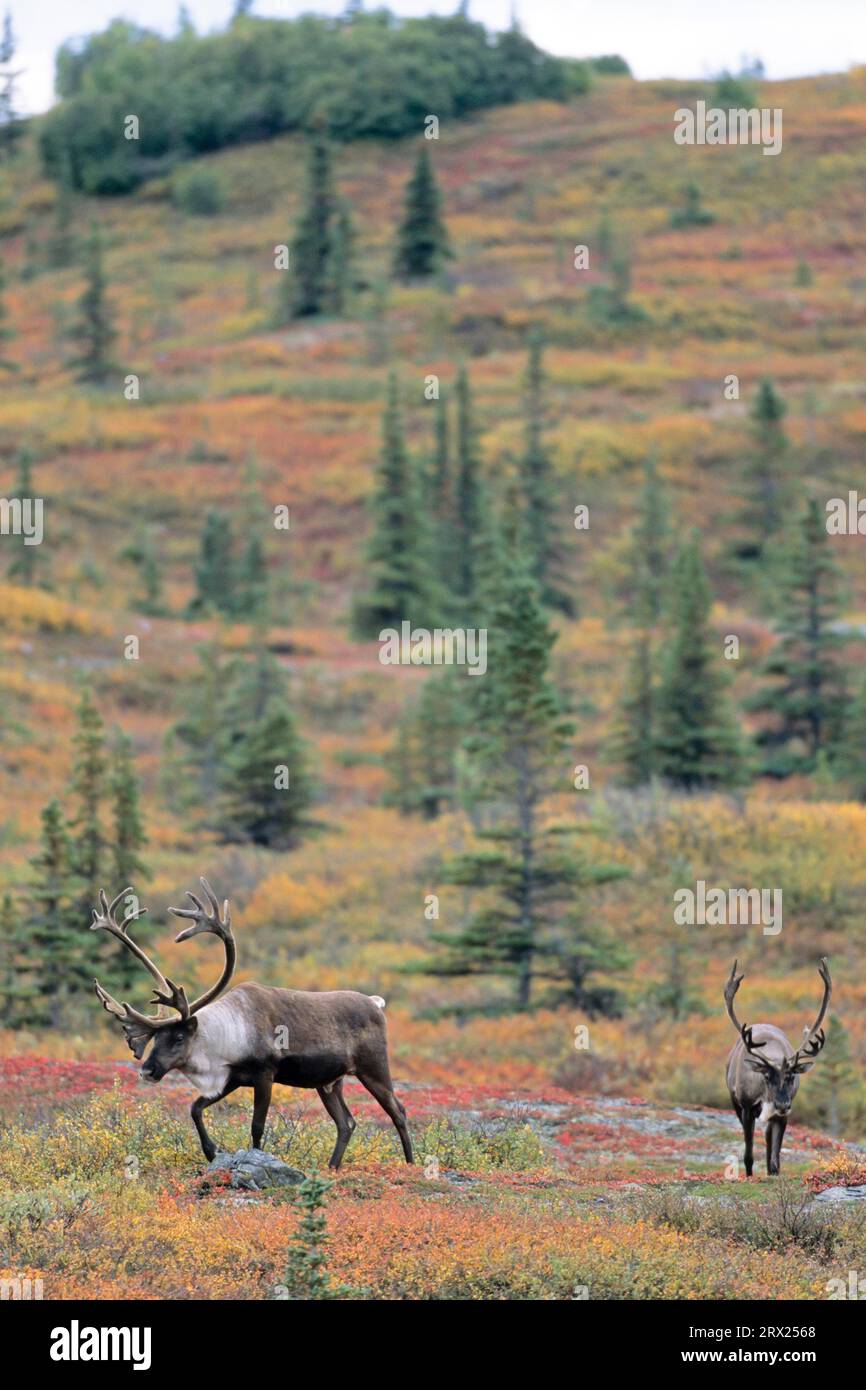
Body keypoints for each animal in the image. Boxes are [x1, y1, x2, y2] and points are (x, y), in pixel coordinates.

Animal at [90, 878, 414, 1169]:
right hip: (330, 1081)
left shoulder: (265, 1073)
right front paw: (211, 1151)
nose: (147, 1070)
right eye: (156, 1038)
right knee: (346, 1122)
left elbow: (256, 1127)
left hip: (373, 1066)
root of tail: (376, 1003)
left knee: (398, 1110)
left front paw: (255, 1158)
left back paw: (411, 1164)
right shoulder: (232, 1077)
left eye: (179, 1037)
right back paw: (332, 1167)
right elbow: (195, 1108)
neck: (227, 1036)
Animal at [724, 957, 831, 1176]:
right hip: (735, 1101)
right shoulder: (746, 1107)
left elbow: (776, 1158)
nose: (781, 1104)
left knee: (767, 1138)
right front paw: (749, 1176)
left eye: (792, 1077)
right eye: (766, 1077)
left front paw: (773, 1172)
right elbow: (748, 1155)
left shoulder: (785, 1114)